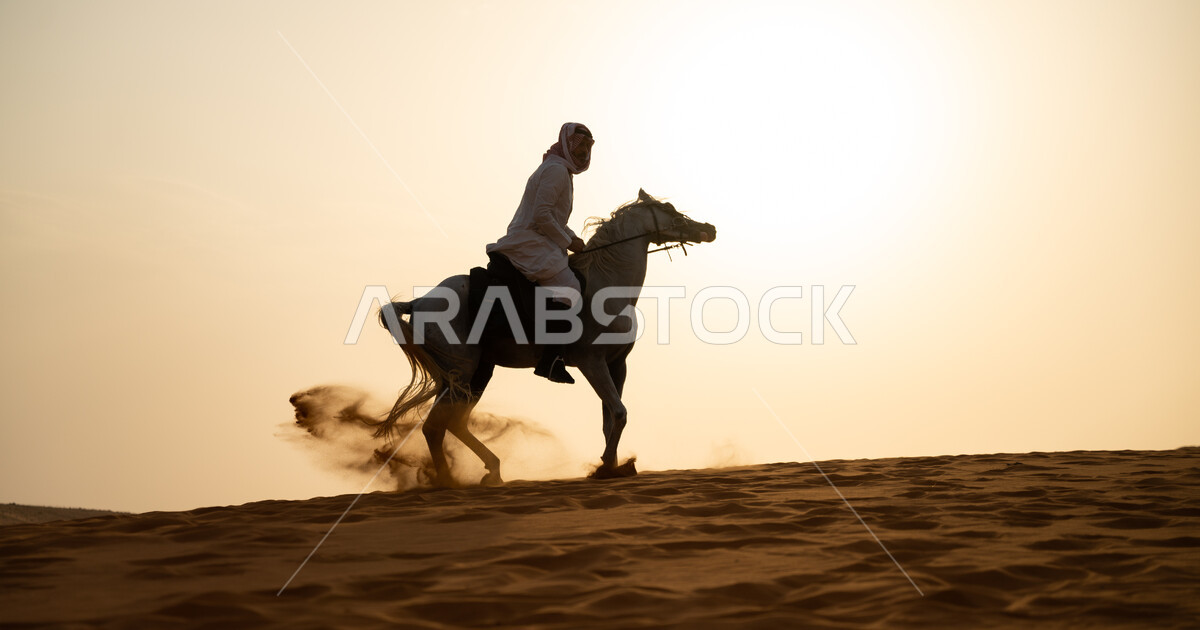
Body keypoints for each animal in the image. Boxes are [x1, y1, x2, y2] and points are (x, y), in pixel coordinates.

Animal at [371, 189, 716, 486]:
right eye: (669, 209)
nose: (709, 229)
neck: (606, 285)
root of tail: (419, 301)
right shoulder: (592, 363)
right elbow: (619, 413)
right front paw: (605, 467)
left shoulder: (617, 364)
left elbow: (610, 418)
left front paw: (614, 465)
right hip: (462, 372)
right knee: (436, 426)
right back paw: (448, 480)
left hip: (476, 373)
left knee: (452, 423)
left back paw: (491, 470)